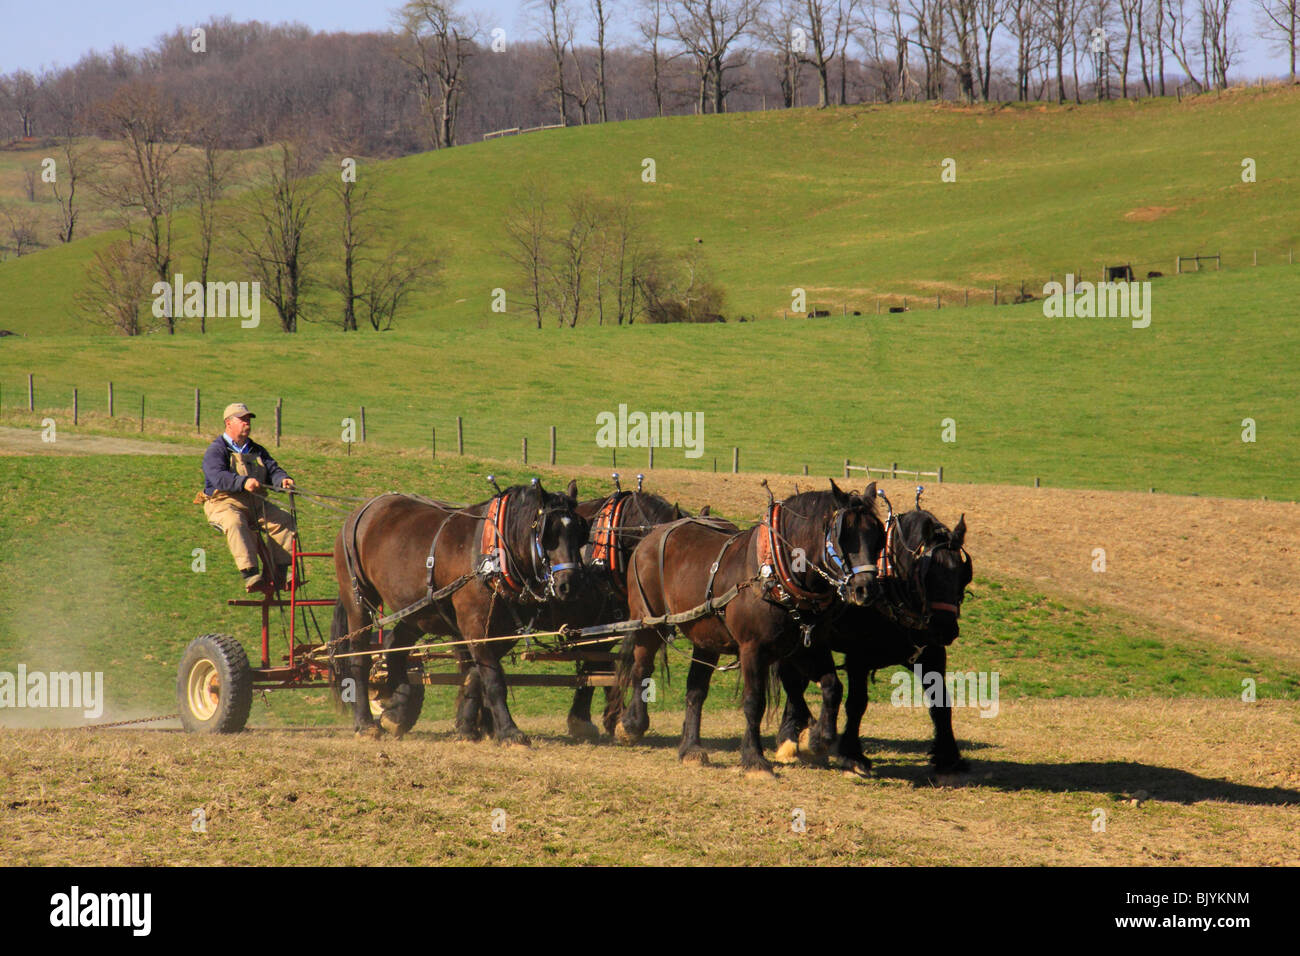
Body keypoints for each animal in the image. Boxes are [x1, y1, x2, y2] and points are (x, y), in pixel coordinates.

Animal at [330, 479, 588, 744]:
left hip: (419, 610)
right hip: (358, 597)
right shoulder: (475, 625)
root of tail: (361, 512)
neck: (493, 553)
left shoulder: (502, 633)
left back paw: (396, 711)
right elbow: (494, 679)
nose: (571, 584)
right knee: (359, 657)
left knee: (394, 647)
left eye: (580, 532)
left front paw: (469, 727)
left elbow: (476, 675)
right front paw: (510, 731)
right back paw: (365, 723)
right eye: (548, 534)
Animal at [614, 481, 884, 777]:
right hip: (647, 624)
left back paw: (691, 748)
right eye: (844, 536)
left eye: (878, 536)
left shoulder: (807, 647)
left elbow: (832, 687)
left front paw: (815, 740)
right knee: (642, 668)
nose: (866, 589)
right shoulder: (753, 649)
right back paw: (632, 725)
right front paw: (755, 758)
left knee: (695, 690)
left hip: (705, 637)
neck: (775, 572)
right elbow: (755, 702)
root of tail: (650, 536)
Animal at [775, 501, 972, 777]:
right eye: (928, 575)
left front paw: (949, 757)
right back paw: (792, 739)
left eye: (963, 575)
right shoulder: (858, 658)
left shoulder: (931, 653)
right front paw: (852, 755)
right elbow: (857, 703)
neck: (890, 587)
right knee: (791, 681)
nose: (945, 628)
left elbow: (941, 703)